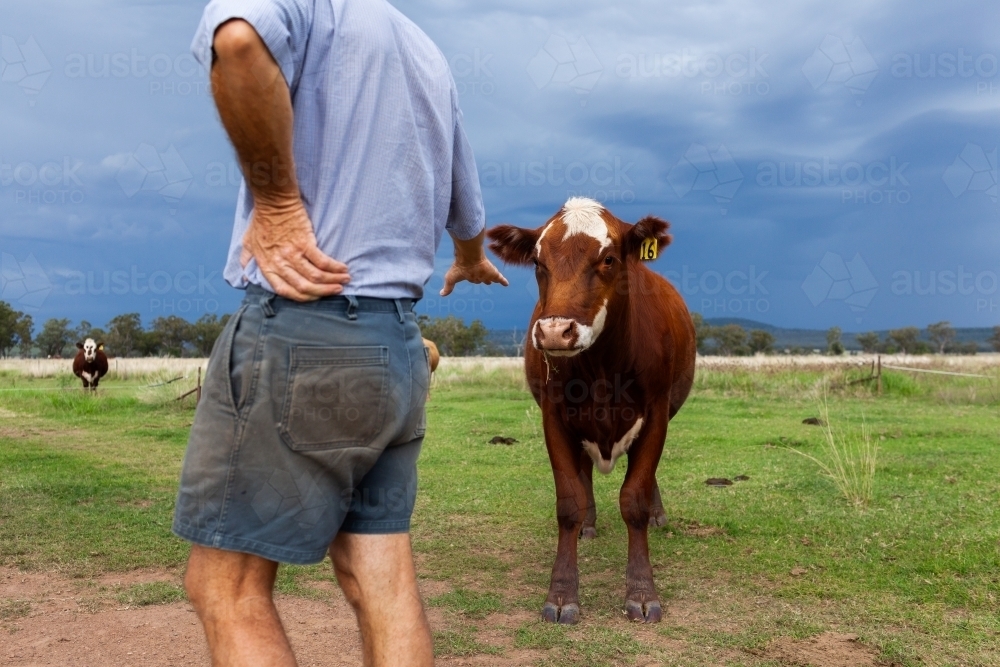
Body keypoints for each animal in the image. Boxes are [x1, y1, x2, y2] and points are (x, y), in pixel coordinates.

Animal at [487, 197, 696, 625]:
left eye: (609, 259)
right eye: (538, 262)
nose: (555, 332)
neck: (602, 370)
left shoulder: (655, 416)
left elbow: (634, 498)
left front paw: (642, 592)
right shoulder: (554, 419)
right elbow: (569, 502)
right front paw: (563, 594)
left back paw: (657, 514)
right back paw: (589, 523)